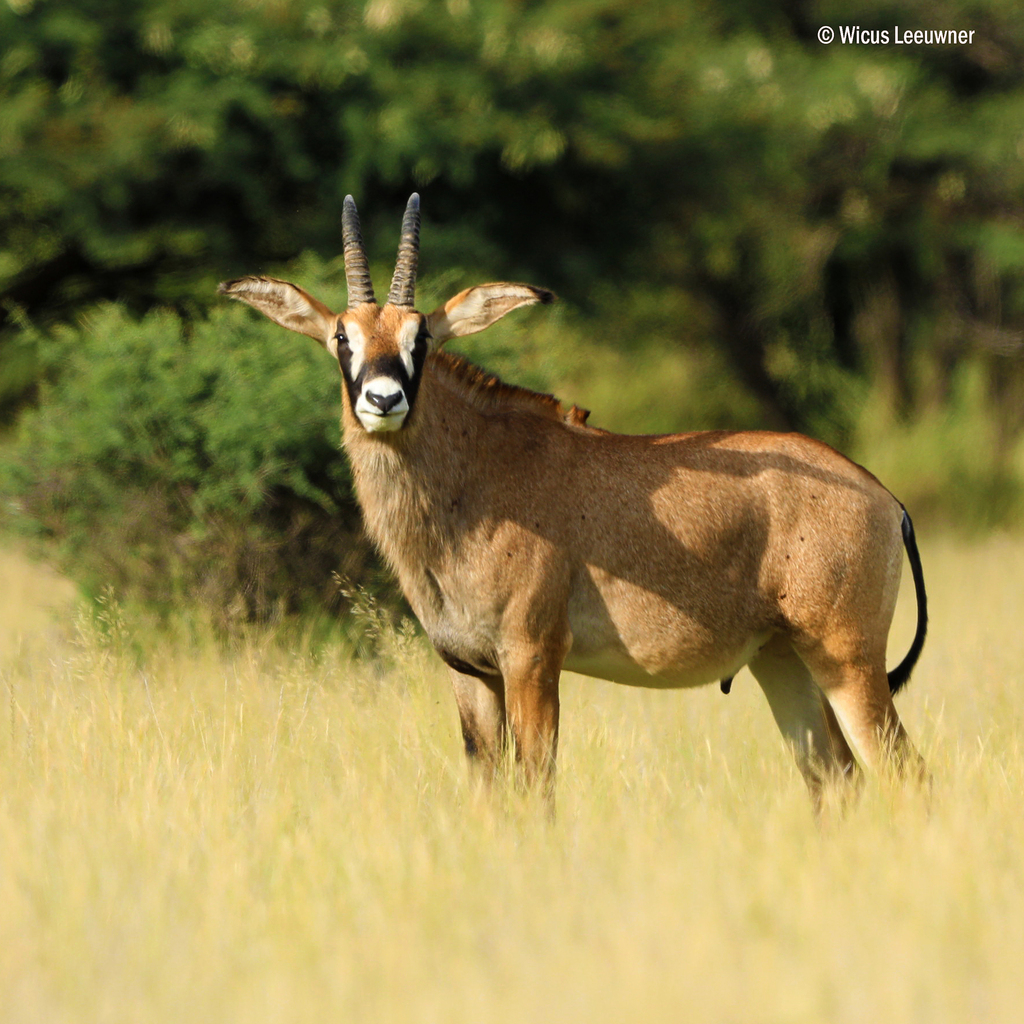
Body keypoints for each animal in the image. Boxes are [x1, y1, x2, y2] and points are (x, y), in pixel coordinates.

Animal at [220, 194, 928, 812]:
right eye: (342, 337)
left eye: (421, 338)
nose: (384, 399)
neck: (474, 480)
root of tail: (885, 498)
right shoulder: (467, 669)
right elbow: (489, 794)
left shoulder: (532, 659)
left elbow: (537, 790)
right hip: (782, 662)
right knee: (837, 779)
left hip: (846, 659)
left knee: (904, 773)